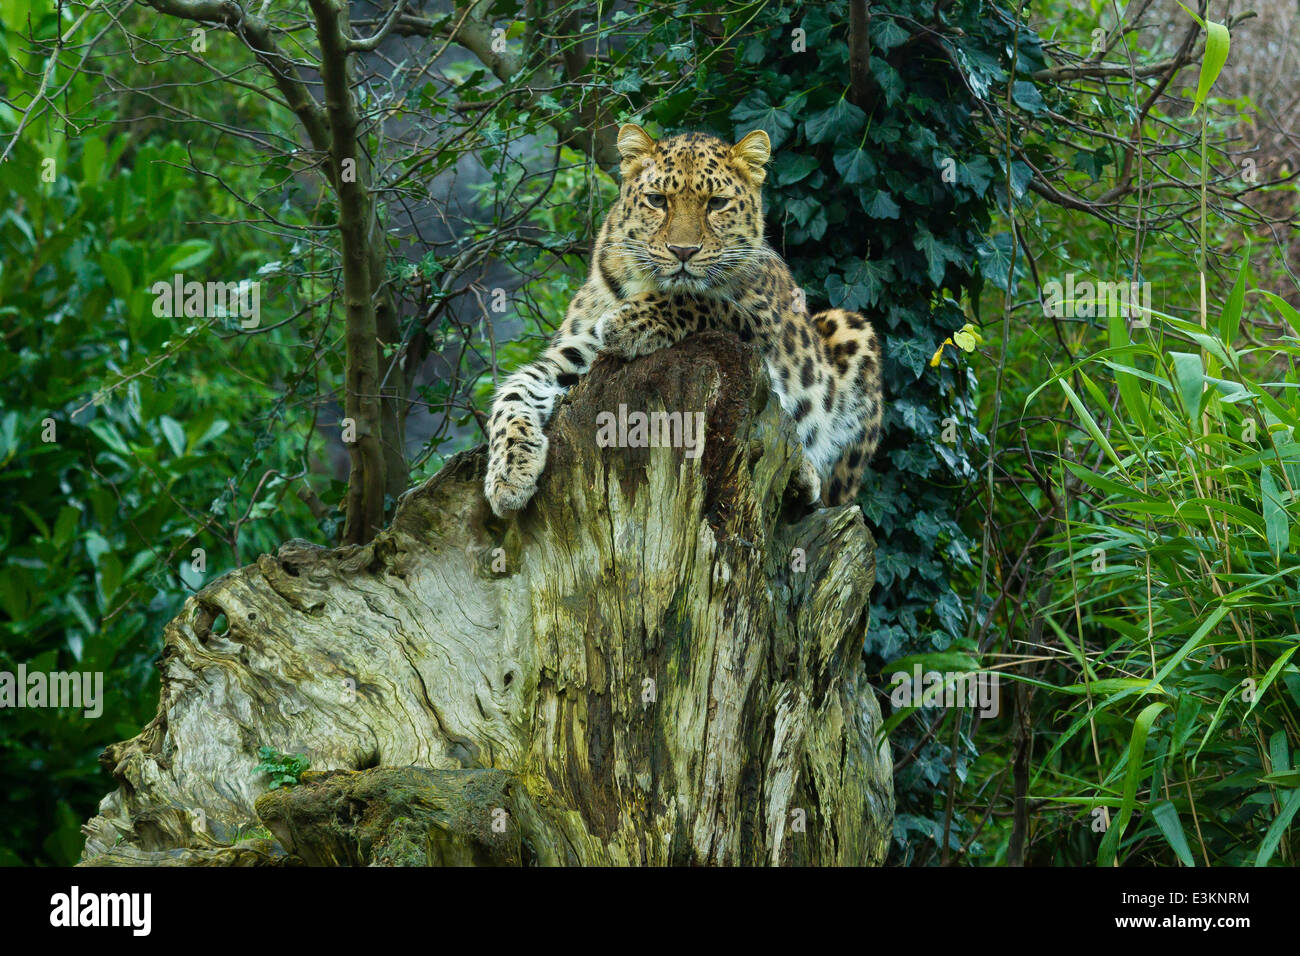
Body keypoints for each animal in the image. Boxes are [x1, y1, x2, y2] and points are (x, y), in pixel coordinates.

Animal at [483, 123, 884, 517]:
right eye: (658, 200)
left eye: (716, 203)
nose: (683, 251)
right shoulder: (574, 354)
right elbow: (514, 393)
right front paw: (508, 475)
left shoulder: (761, 324)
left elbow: (699, 299)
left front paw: (631, 323)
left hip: (850, 327)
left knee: (831, 491)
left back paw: (807, 473)